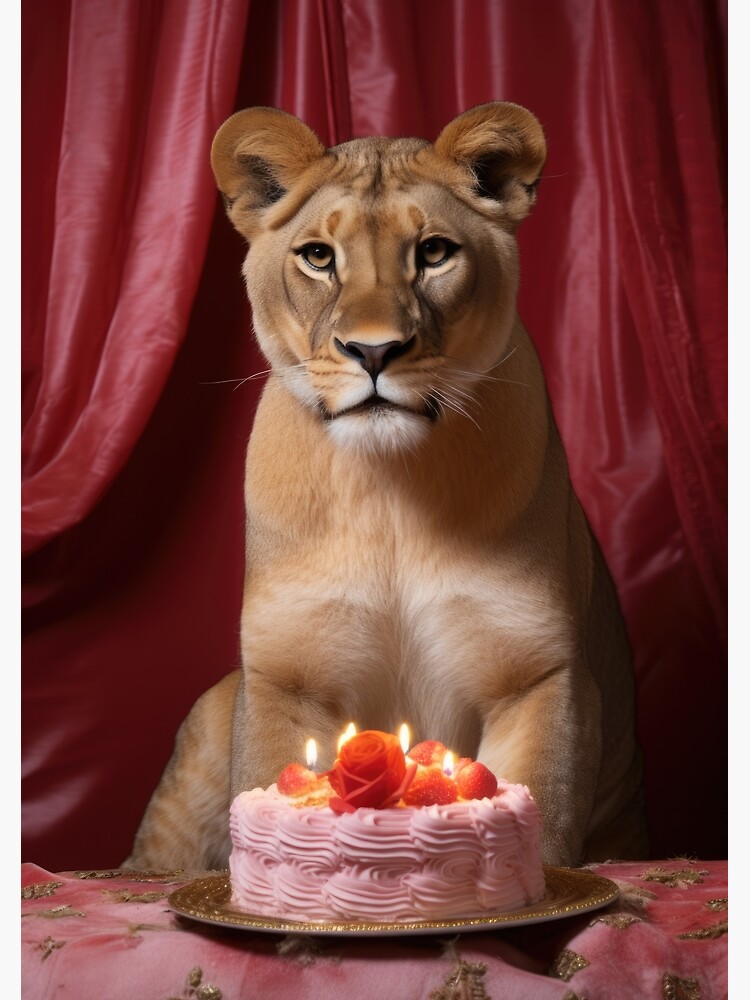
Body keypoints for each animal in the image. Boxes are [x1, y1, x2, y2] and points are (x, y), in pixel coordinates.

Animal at [123, 101, 648, 871]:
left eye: (433, 252)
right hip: (213, 713)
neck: (388, 496)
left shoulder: (536, 678)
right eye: (318, 257)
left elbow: (543, 827)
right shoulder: (287, 677)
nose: (374, 351)